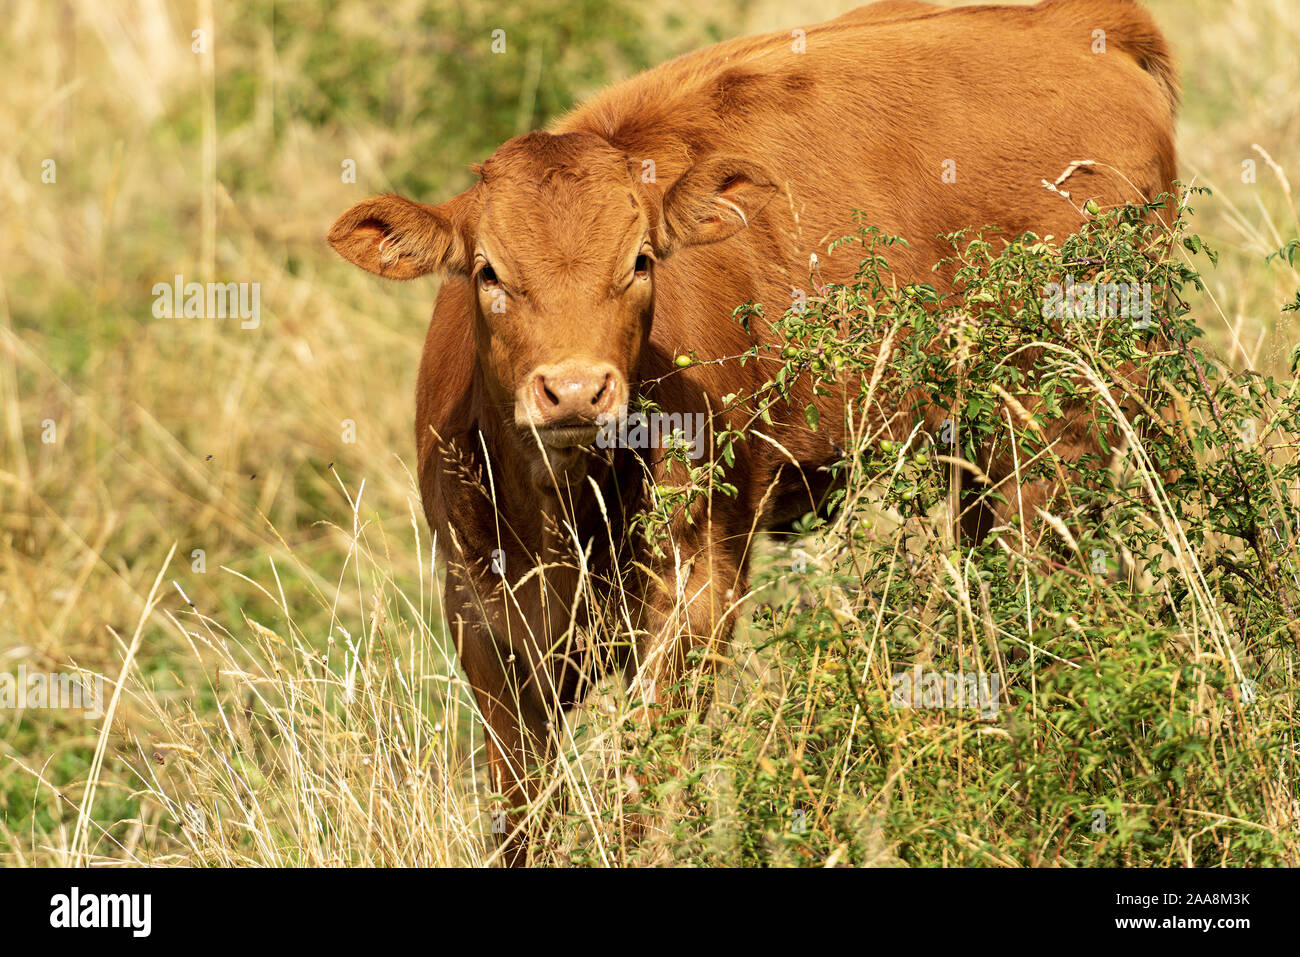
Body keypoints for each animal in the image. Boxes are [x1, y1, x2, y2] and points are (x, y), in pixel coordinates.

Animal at [328, 0, 1177, 864]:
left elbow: (645, 791)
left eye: (641, 261)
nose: (575, 389)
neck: (563, 510)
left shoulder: (695, 584)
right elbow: (523, 813)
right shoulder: (483, 621)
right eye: (489, 271)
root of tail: (1074, 23)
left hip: (1064, 425)